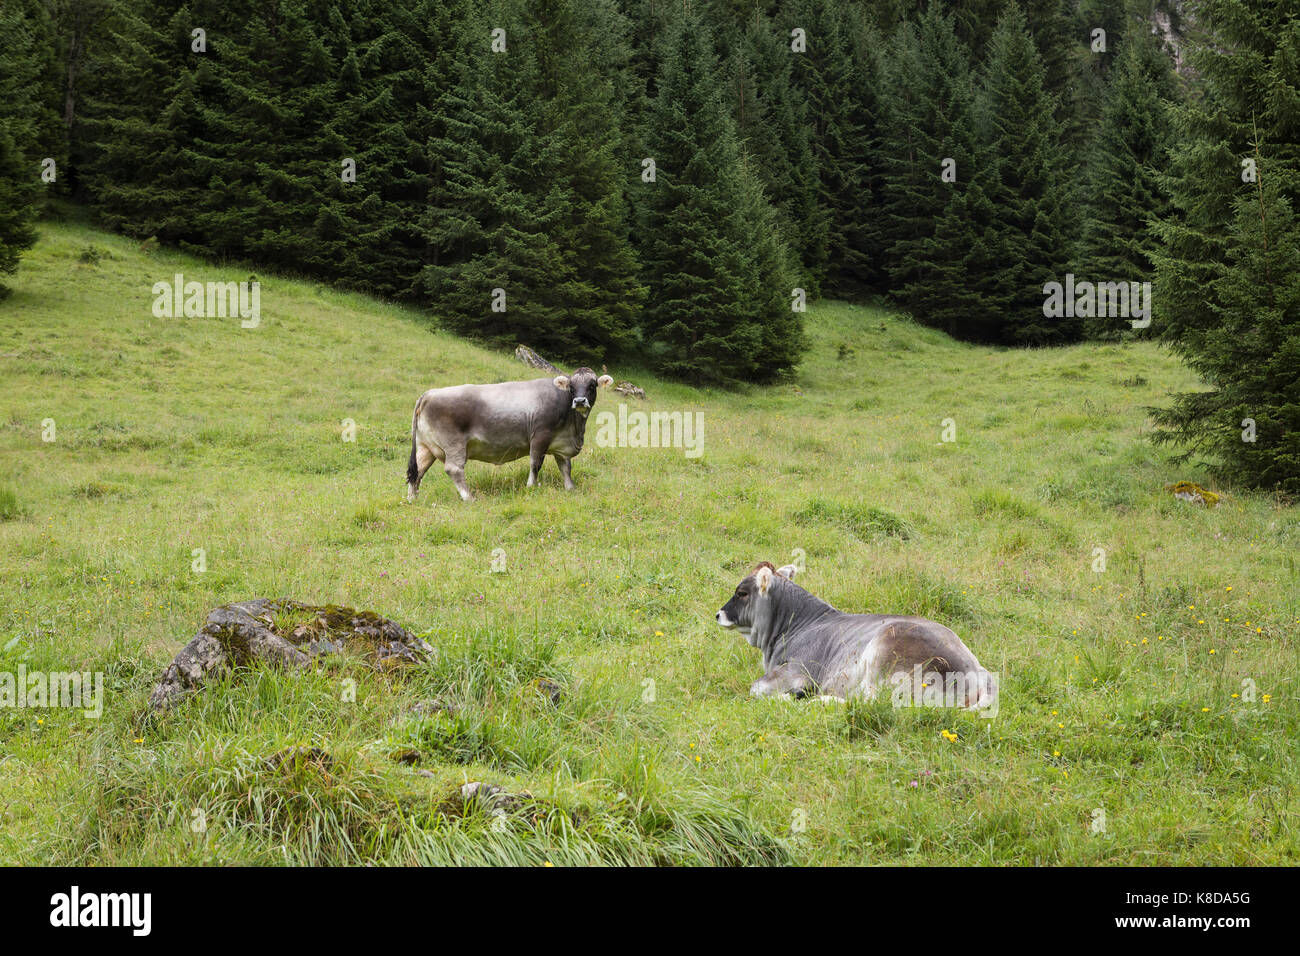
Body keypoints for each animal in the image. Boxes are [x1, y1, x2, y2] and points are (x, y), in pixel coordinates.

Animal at [406, 368, 613, 502]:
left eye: (592, 385)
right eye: (571, 387)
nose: (579, 401)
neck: (574, 427)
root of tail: (429, 393)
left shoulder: (560, 443)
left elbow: (565, 467)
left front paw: (570, 488)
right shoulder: (540, 435)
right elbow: (535, 464)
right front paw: (531, 487)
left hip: (426, 447)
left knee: (417, 472)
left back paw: (412, 499)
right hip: (453, 444)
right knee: (453, 469)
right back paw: (469, 498)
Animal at [715, 562, 995, 710]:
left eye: (741, 592)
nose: (718, 614)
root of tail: (978, 672)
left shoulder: (797, 671)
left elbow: (756, 688)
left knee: (871, 702)